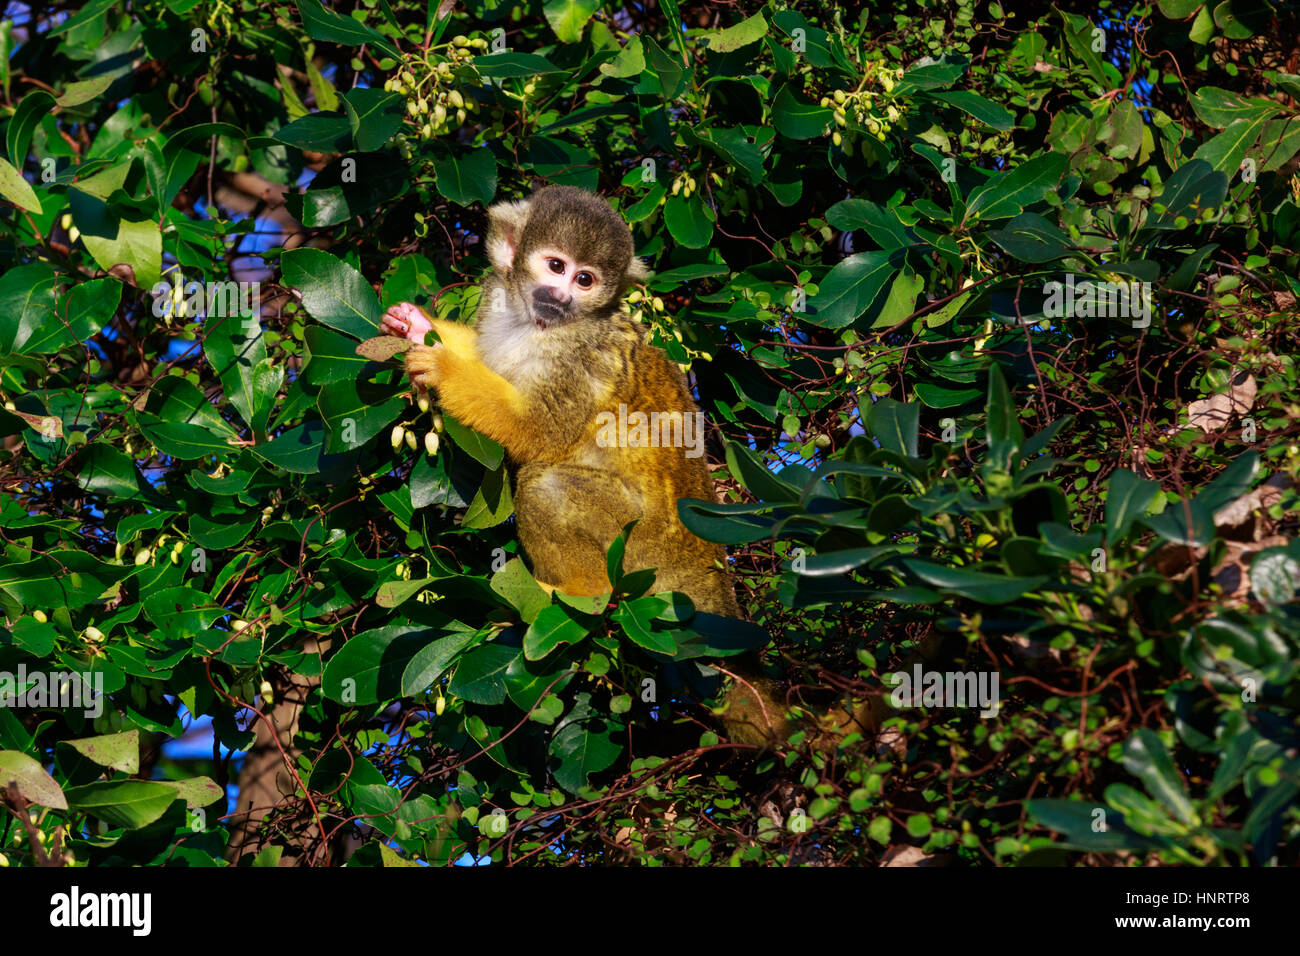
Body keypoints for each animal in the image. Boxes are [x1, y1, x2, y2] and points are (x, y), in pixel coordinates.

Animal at [381, 185, 872, 749]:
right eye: (556, 267)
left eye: (586, 280)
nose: (562, 298)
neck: (538, 324)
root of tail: (709, 574)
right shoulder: (497, 302)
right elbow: (490, 363)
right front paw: (417, 326)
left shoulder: (579, 356)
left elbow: (536, 432)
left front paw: (440, 367)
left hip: (644, 553)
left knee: (547, 485)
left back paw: (579, 595)